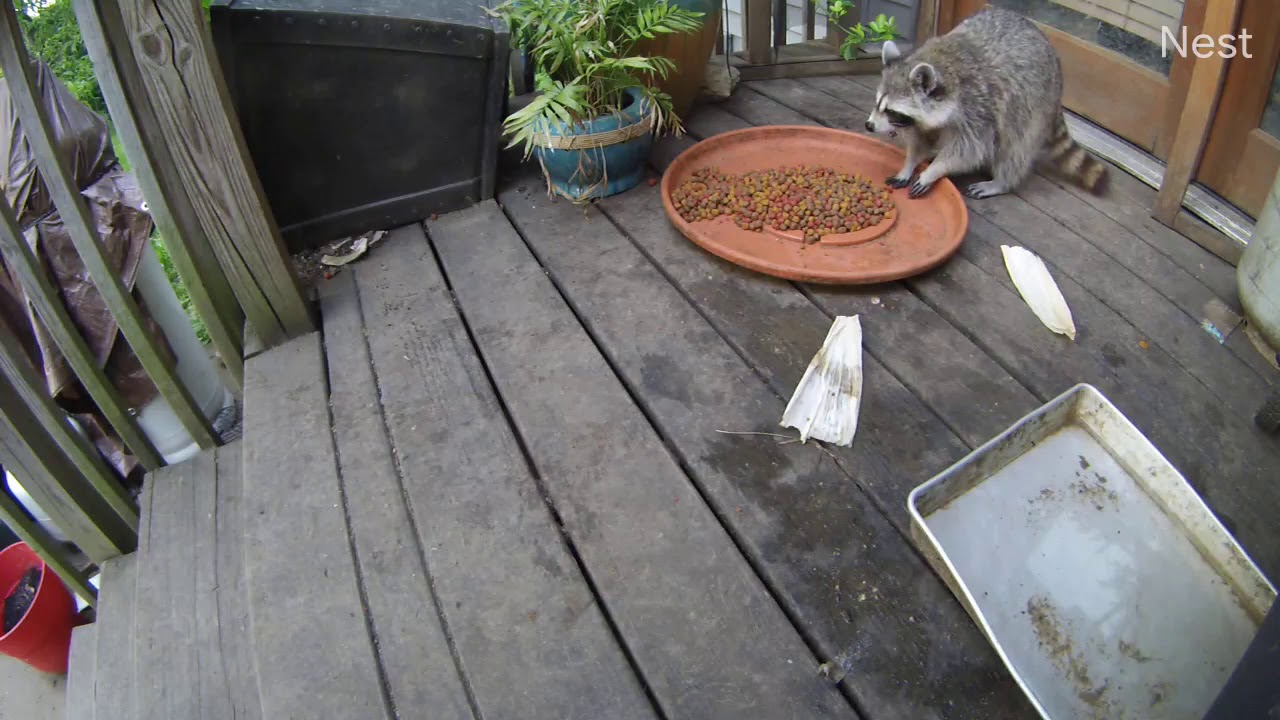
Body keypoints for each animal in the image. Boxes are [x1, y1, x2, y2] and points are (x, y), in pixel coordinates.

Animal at [864, 5, 1107, 200]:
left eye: (891, 111)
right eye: (877, 103)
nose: (869, 125)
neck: (940, 60)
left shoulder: (977, 109)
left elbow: (969, 151)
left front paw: (933, 171)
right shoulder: (924, 119)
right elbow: (920, 139)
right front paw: (911, 163)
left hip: (1034, 106)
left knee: (1016, 148)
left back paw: (1002, 181)